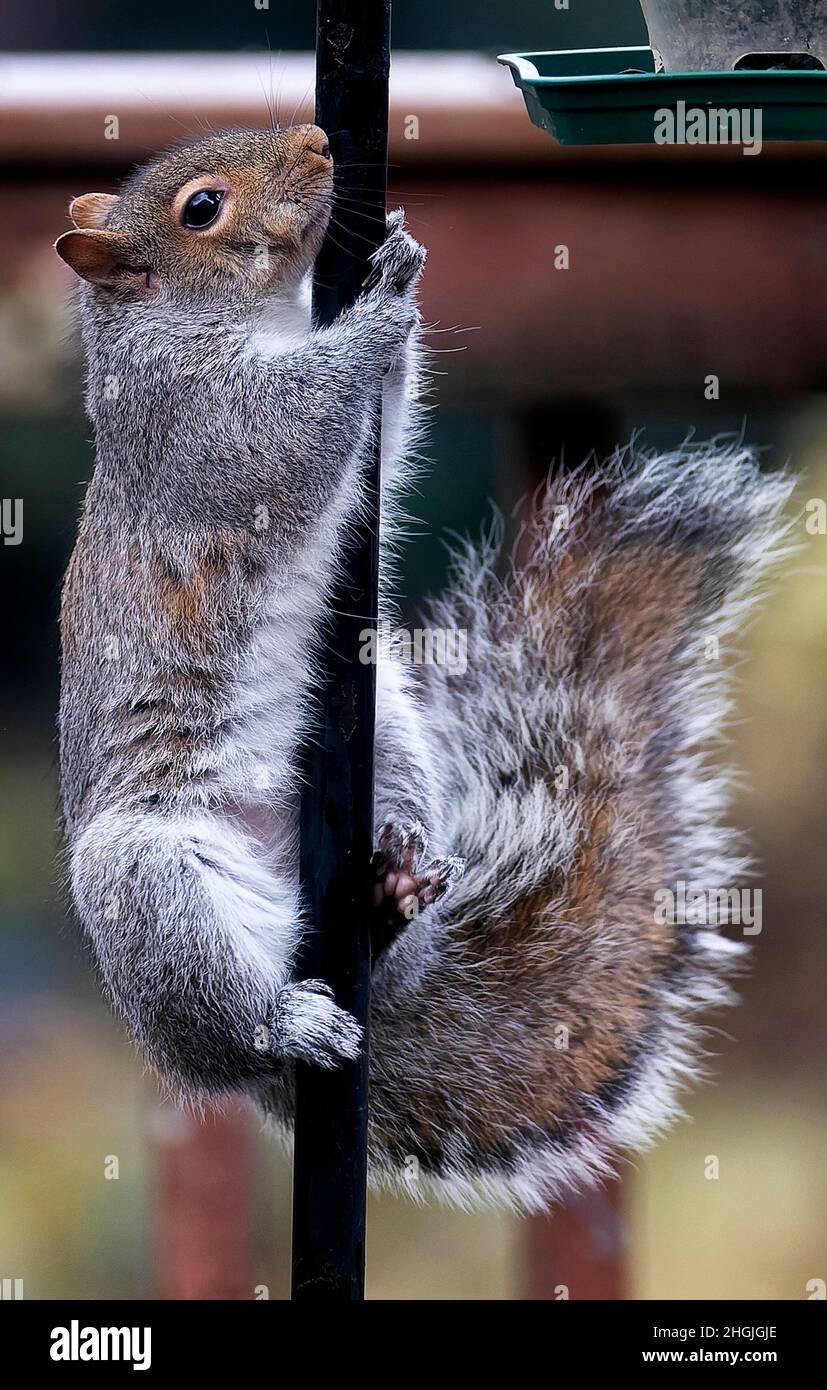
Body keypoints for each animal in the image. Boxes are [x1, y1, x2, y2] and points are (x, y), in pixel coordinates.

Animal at [55, 125, 794, 1212]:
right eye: (202, 208)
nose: (318, 140)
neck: (210, 323)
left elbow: (380, 438)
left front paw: (399, 264)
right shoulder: (203, 431)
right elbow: (295, 435)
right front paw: (377, 310)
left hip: (394, 733)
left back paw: (396, 882)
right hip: (148, 886)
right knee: (232, 1027)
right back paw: (285, 1022)